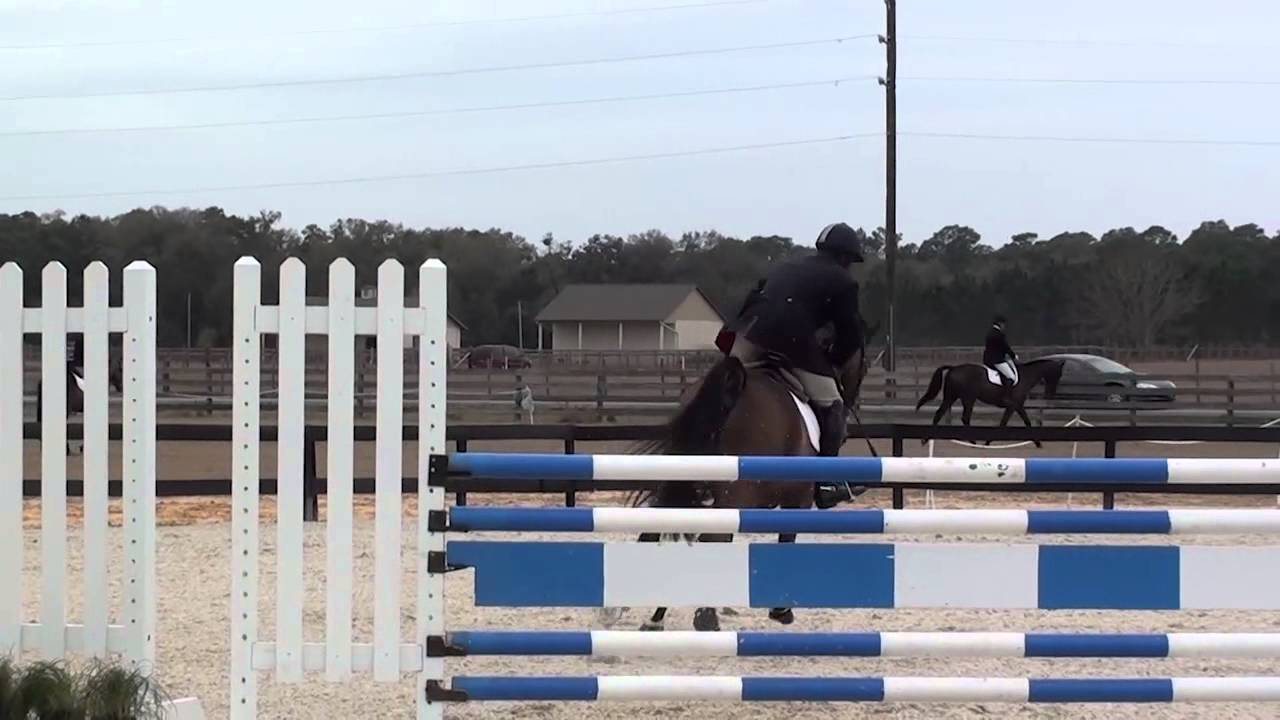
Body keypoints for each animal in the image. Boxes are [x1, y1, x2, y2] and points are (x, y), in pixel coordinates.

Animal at [608, 329, 874, 634]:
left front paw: (656, 615)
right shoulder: (797, 499)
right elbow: (786, 540)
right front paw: (781, 610)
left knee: (656, 531)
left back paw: (644, 615)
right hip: (733, 495)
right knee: (713, 539)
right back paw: (705, 619)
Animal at [914, 358, 1065, 448]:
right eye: (1057, 375)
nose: (1050, 394)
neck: (1025, 377)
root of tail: (954, 368)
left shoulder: (1012, 407)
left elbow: (1003, 423)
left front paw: (987, 442)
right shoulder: (1016, 405)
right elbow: (1026, 422)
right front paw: (1038, 443)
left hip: (951, 397)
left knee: (939, 414)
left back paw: (925, 439)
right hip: (968, 398)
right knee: (965, 418)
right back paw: (973, 442)